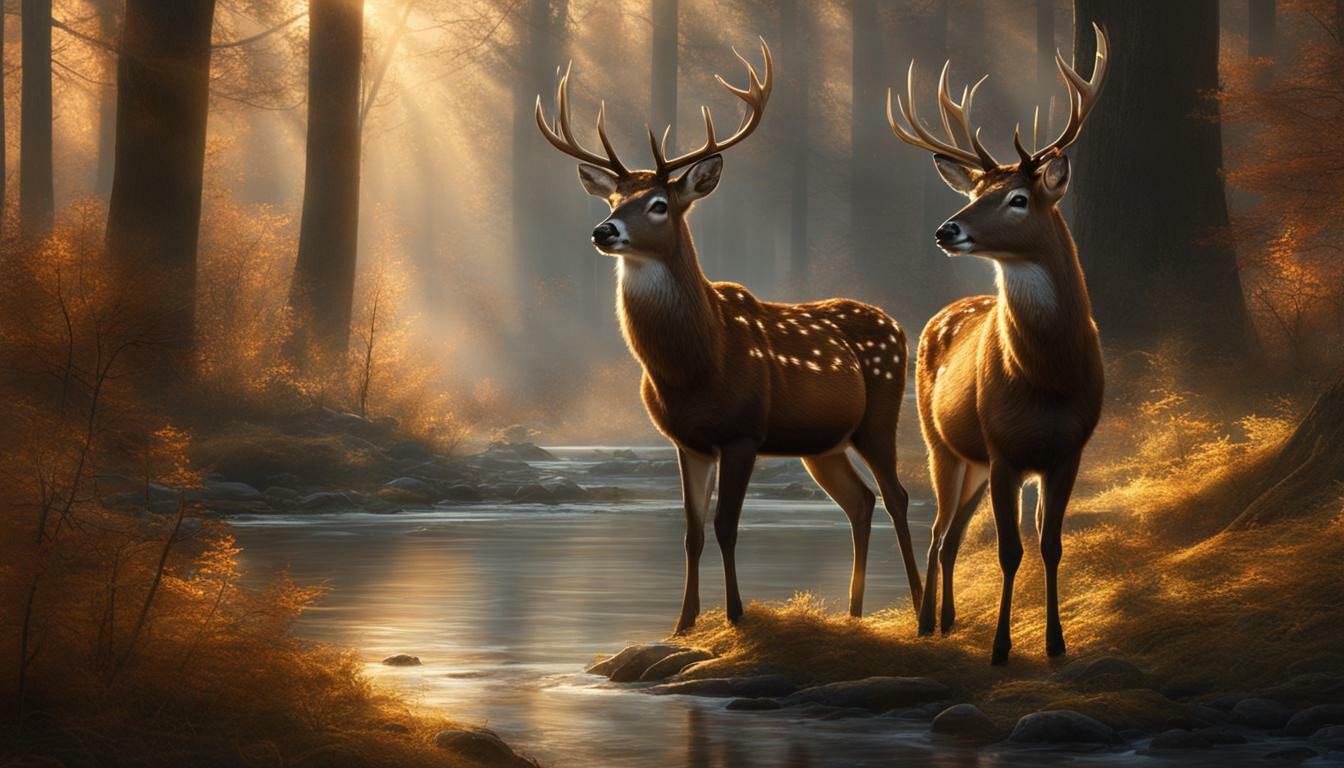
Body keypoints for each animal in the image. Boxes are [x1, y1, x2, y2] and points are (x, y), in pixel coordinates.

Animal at [536, 40, 923, 634]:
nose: (603, 231)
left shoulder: (743, 432)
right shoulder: (687, 441)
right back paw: (854, 613)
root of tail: (899, 326)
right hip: (822, 444)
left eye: (659, 204)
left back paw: (923, 612)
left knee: (898, 495)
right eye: (612, 202)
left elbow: (725, 525)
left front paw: (738, 616)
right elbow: (692, 531)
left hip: (879, 415)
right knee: (860, 501)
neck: (696, 364)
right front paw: (683, 622)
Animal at [886, 25, 1110, 664]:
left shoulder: (1068, 451)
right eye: (975, 190)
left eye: (1018, 198)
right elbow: (1011, 551)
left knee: (954, 534)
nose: (947, 228)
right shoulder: (1005, 447)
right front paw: (1002, 647)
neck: (1047, 380)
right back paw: (927, 623)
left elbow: (1050, 545)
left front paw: (1056, 643)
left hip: (976, 462)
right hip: (942, 442)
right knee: (937, 531)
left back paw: (947, 619)